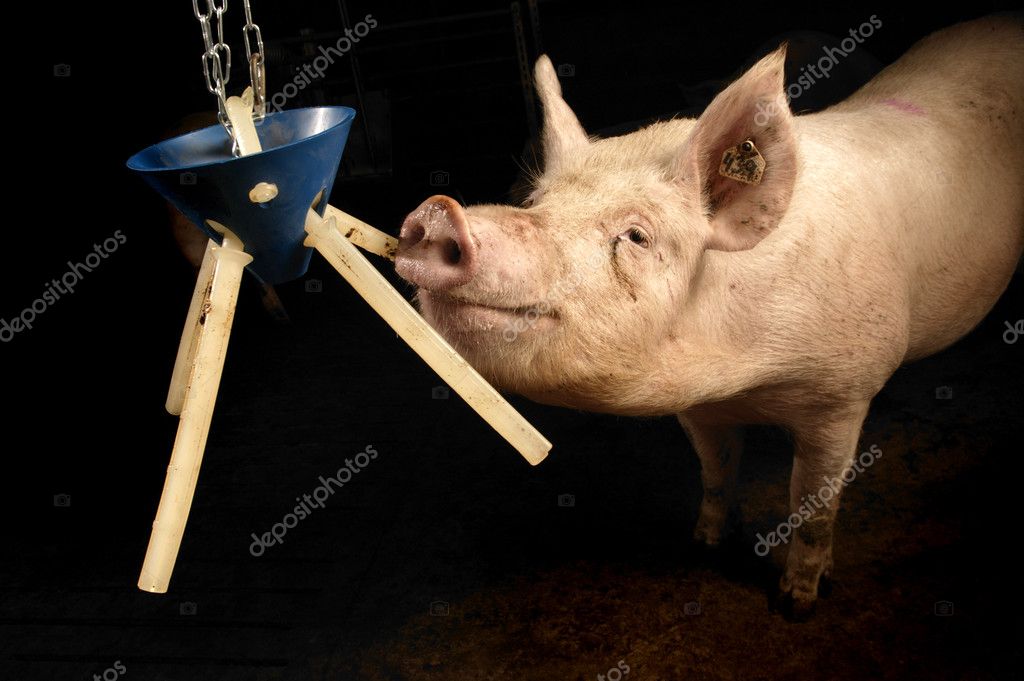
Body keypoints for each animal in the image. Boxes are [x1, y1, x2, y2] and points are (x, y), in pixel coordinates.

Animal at [395, 16, 1024, 618]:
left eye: (637, 235)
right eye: (535, 203)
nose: (439, 212)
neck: (746, 380)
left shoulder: (842, 393)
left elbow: (812, 501)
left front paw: (796, 604)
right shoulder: (699, 408)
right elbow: (716, 470)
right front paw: (703, 547)